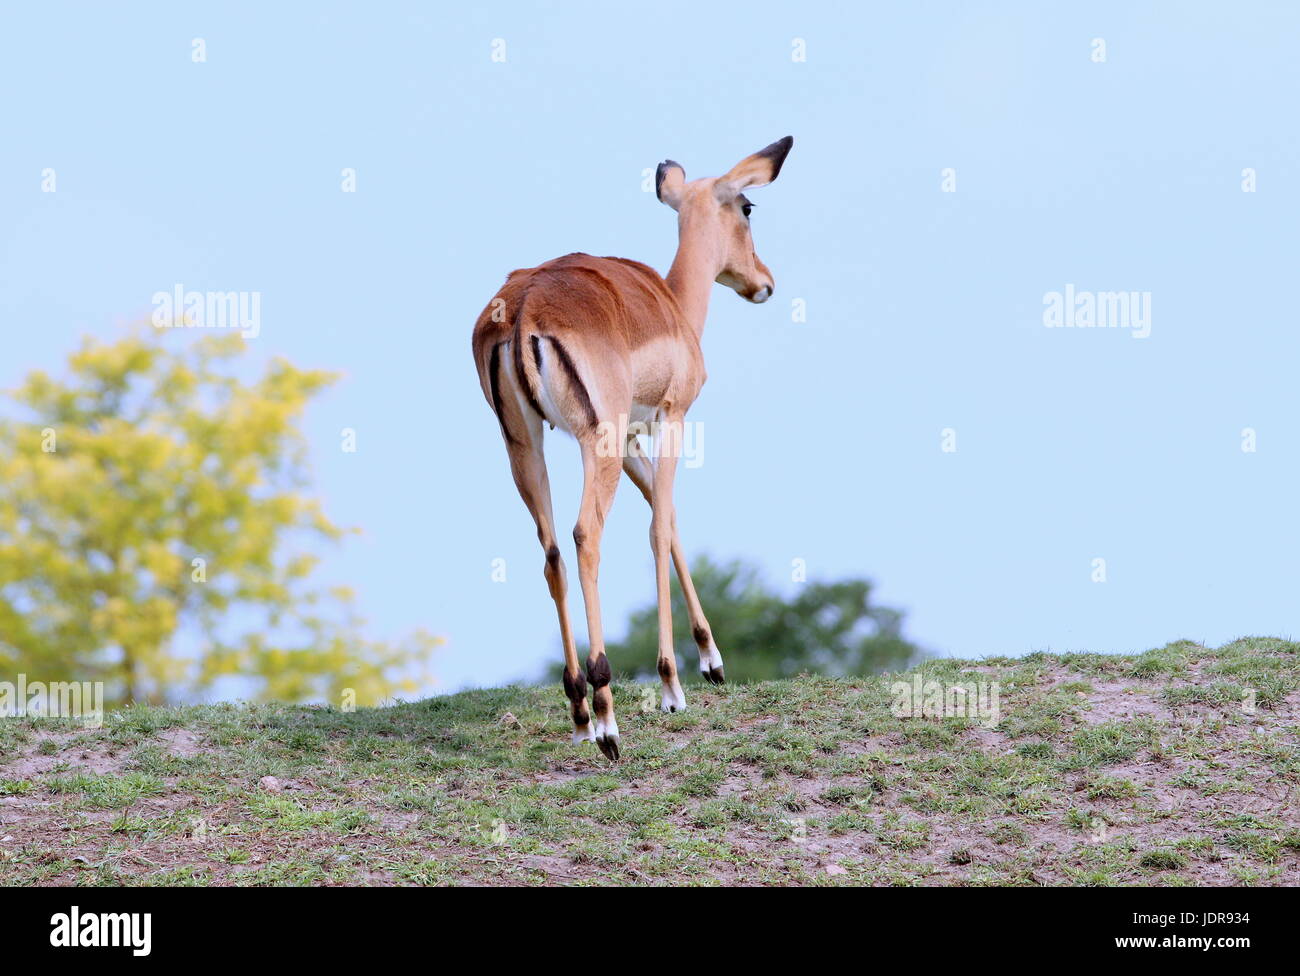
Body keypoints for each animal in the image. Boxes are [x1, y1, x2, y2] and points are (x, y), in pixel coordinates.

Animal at [471, 137, 794, 761]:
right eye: (748, 207)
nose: (764, 281)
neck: (672, 305)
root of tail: (521, 306)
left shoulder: (626, 440)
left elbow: (669, 517)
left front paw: (712, 661)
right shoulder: (671, 419)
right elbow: (660, 525)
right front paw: (673, 684)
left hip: (523, 444)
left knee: (551, 549)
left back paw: (577, 709)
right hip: (589, 444)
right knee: (584, 535)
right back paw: (606, 721)